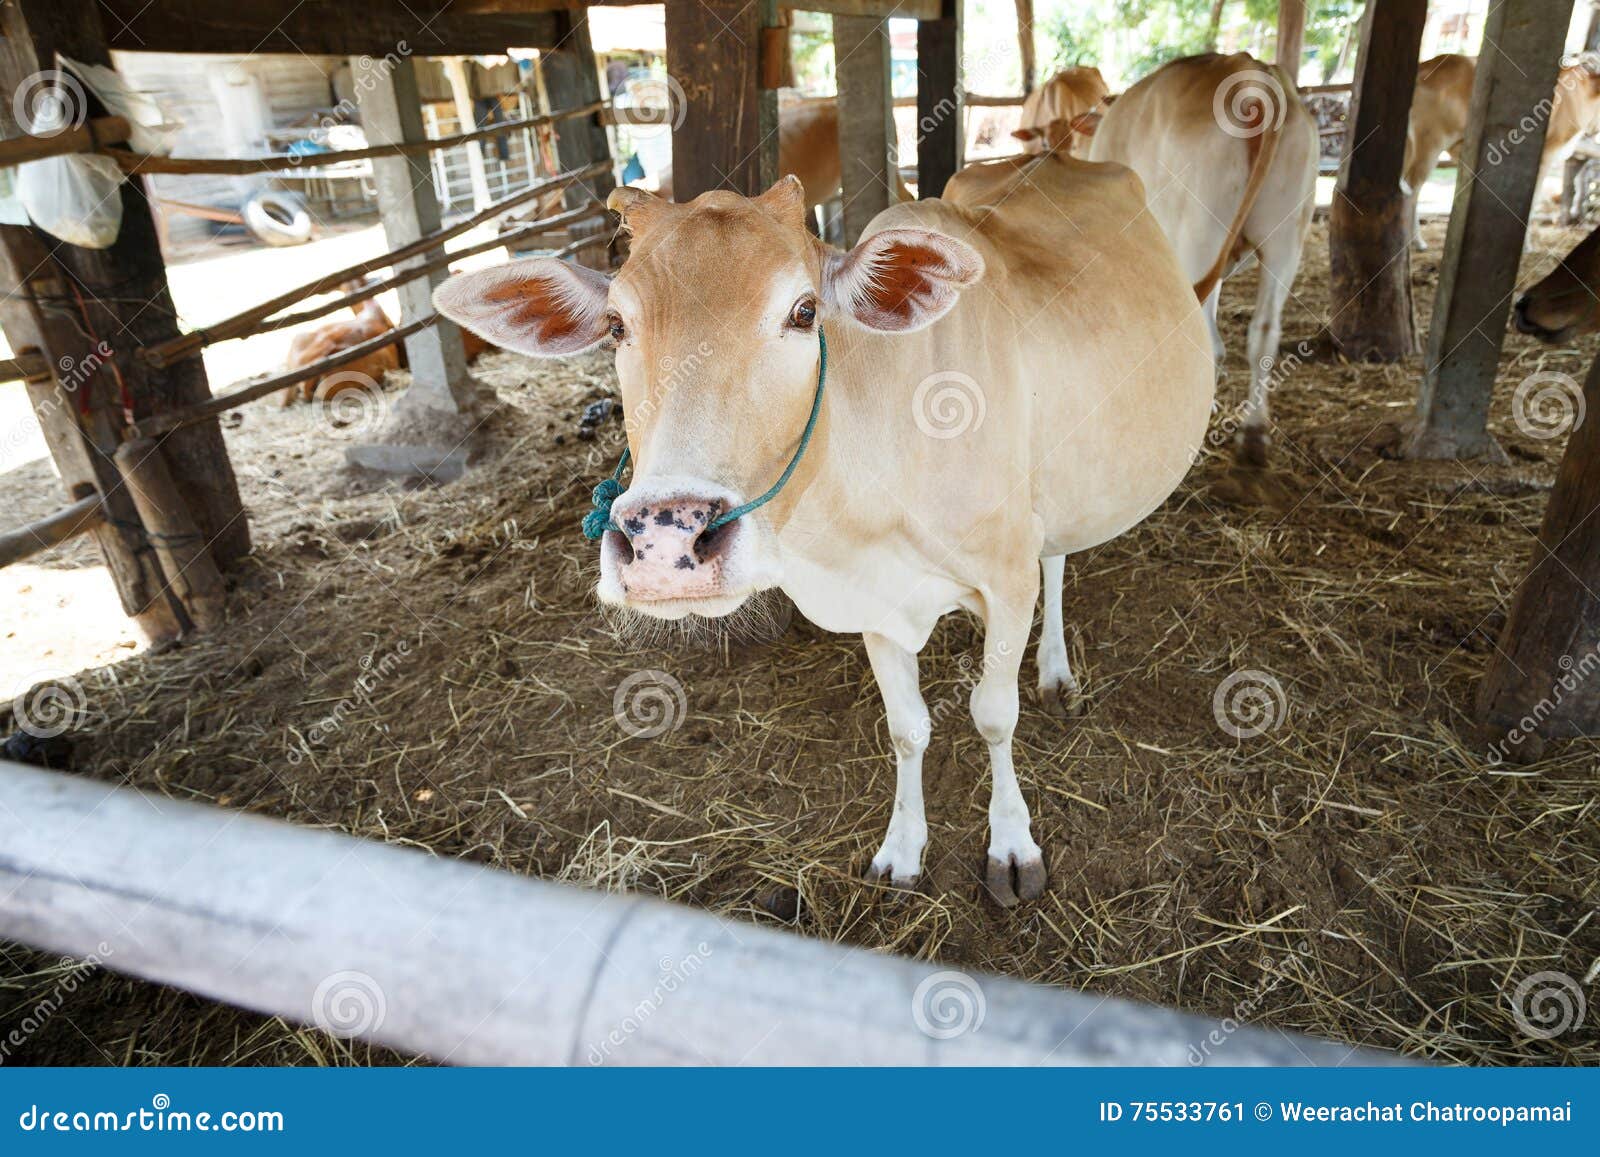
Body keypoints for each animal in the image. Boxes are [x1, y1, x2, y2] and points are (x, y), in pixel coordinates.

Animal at [433, 157, 1214, 906]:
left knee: (1056, 561)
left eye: (804, 311)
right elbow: (907, 726)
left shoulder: (1006, 572)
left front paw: (1013, 846)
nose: (664, 540)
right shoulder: (872, 599)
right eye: (618, 326)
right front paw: (903, 850)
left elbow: (994, 713)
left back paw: (1052, 668)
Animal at [1088, 52, 1318, 467]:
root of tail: (1253, 75)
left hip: (1199, 233)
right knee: (1264, 330)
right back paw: (1254, 435)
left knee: (1204, 334)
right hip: (1285, 239)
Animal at [1404, 55, 1600, 249]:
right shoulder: (1547, 155)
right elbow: (1533, 199)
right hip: (1430, 144)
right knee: (1412, 189)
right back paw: (1417, 242)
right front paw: (1526, 246)